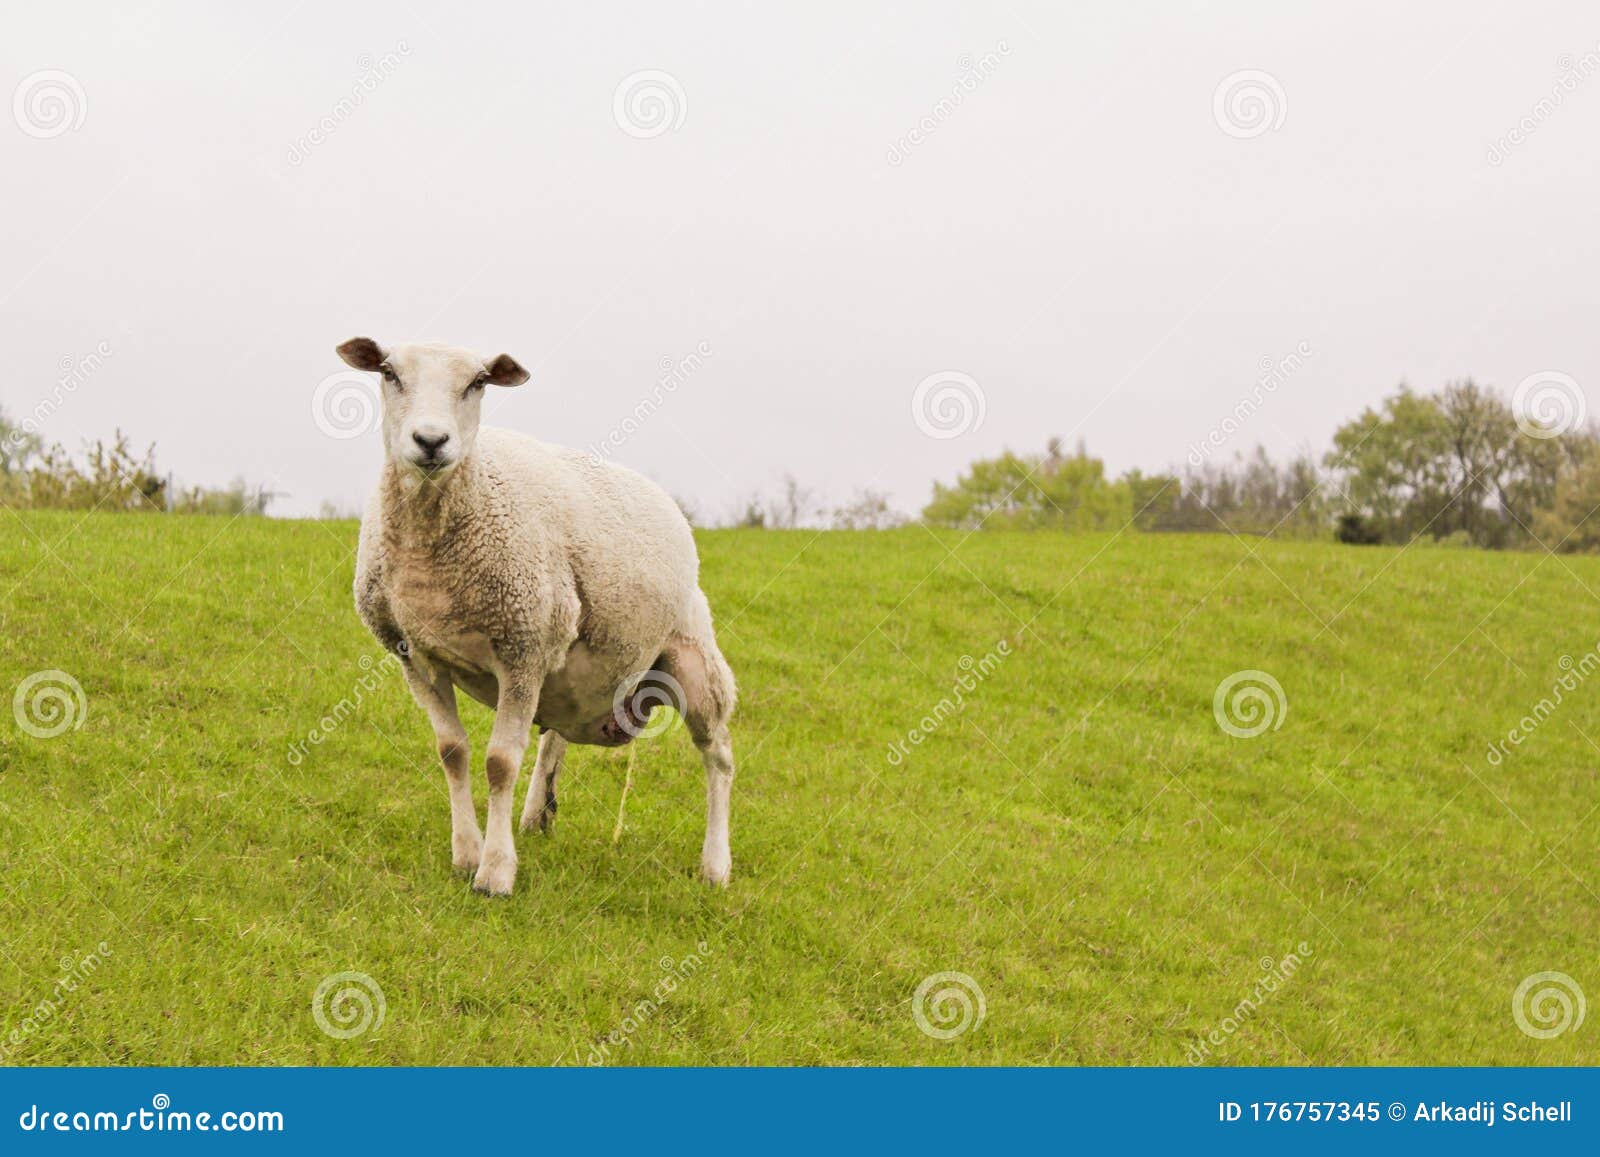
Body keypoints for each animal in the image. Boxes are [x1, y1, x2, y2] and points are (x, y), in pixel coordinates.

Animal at [335, 337, 738, 895]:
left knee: (718, 754)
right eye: (389, 374)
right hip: (571, 670)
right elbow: (452, 752)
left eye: (477, 382)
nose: (431, 441)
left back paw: (715, 864)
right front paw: (467, 853)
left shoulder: (522, 651)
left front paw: (495, 872)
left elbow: (500, 762)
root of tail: (668, 506)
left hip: (692, 656)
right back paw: (535, 817)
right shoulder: (416, 658)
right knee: (554, 736)